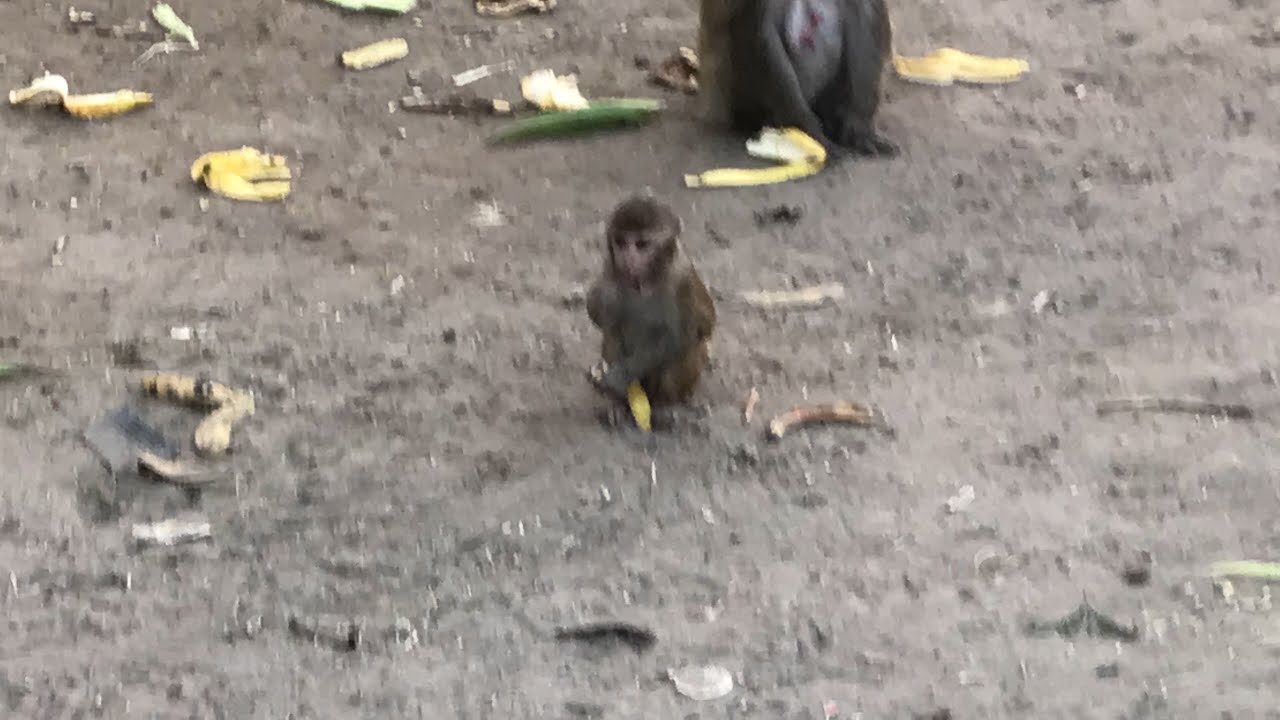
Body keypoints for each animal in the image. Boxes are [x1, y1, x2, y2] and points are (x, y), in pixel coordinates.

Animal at [585, 195, 717, 413]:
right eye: (620, 242)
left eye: (641, 244)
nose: (627, 258)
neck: (647, 280)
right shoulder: (610, 270)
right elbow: (599, 314)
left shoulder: (681, 283)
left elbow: (679, 337)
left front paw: (622, 375)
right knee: (612, 334)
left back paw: (666, 405)